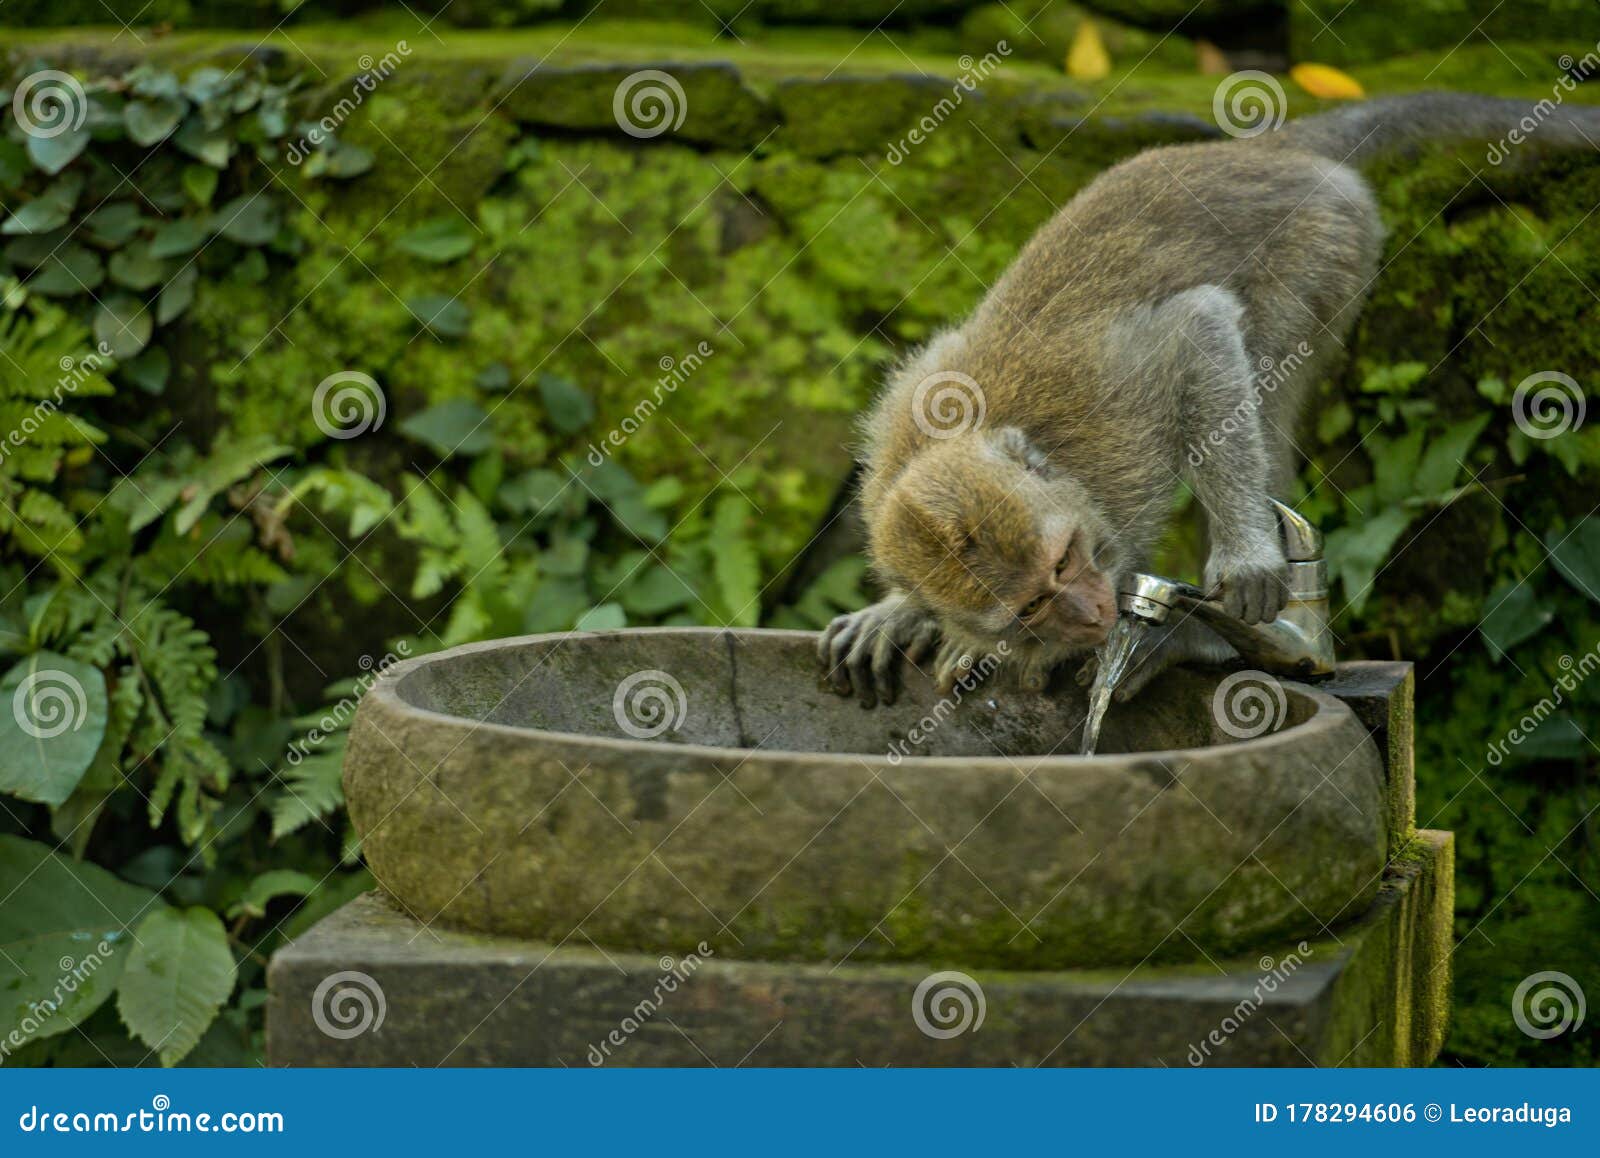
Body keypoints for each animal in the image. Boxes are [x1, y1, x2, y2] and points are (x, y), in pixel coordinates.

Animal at [820, 93, 1600, 708]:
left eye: (1065, 561)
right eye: (1036, 604)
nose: (1094, 611)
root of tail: (1268, 149)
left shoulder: (1118, 419)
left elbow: (1197, 330)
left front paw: (1244, 564)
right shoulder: (902, 414)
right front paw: (904, 613)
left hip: (1329, 239)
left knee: (1266, 375)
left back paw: (1210, 638)